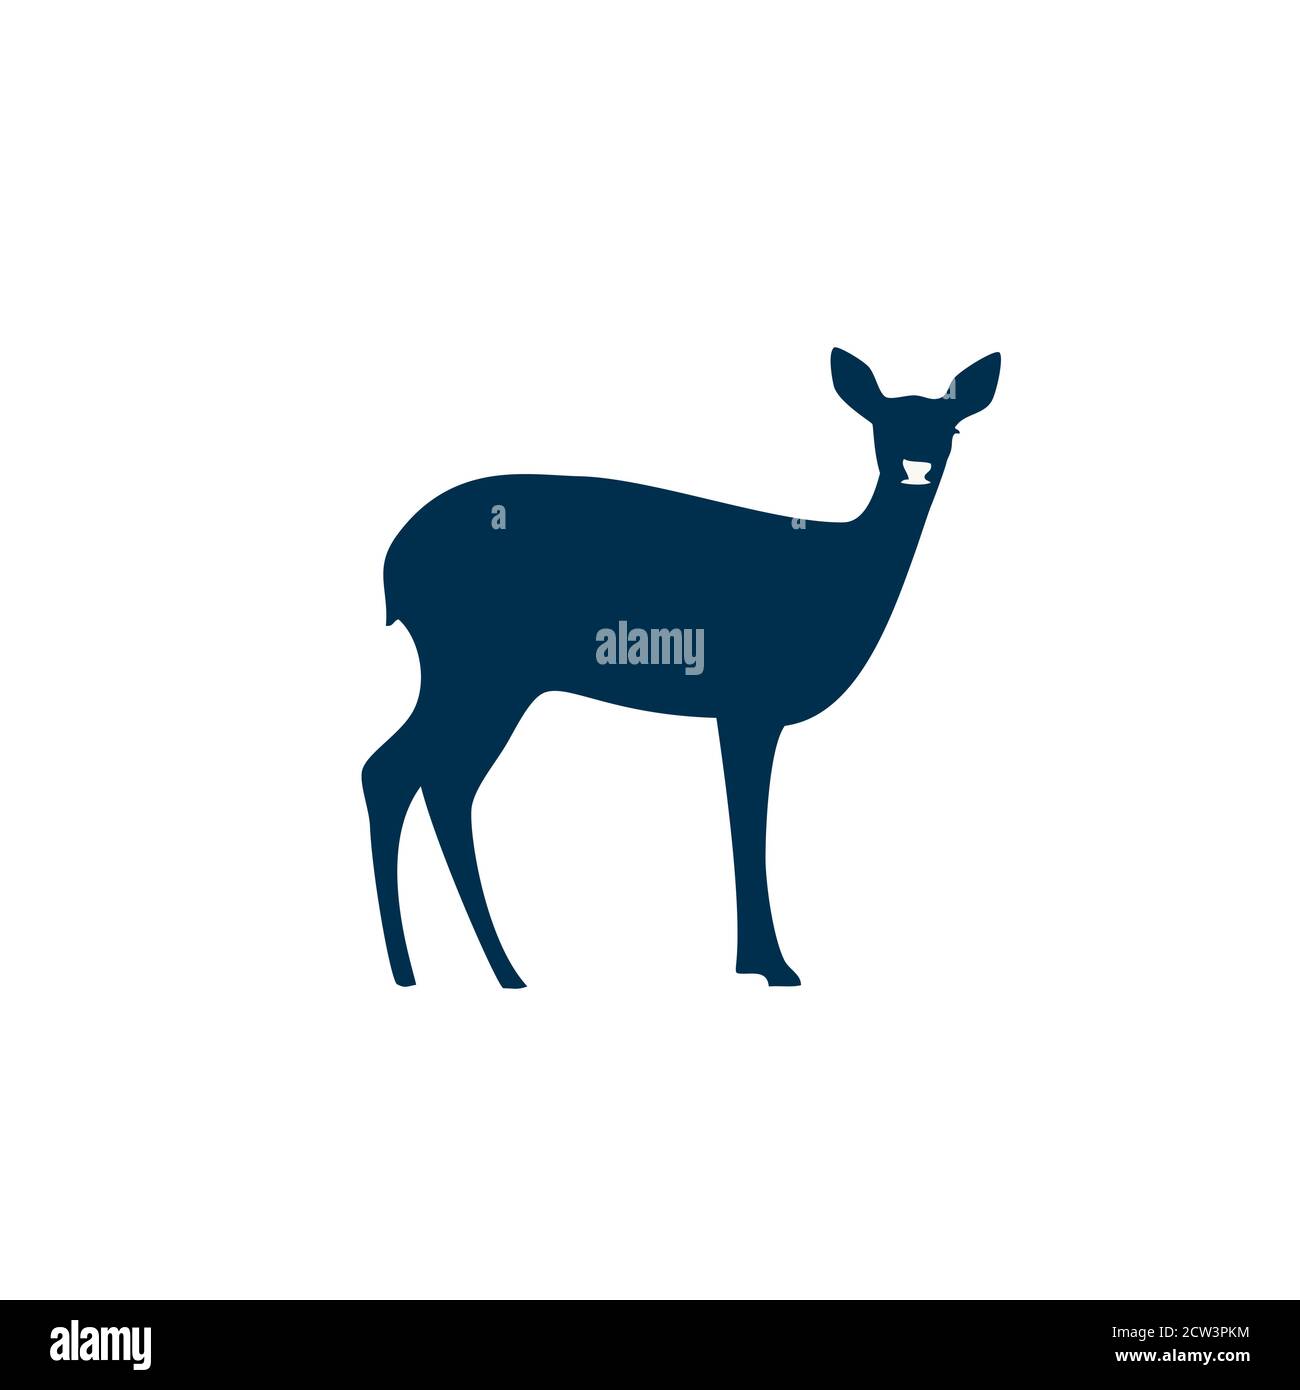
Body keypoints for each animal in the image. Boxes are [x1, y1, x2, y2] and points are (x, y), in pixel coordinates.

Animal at [363, 348, 1000, 988]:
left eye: (950, 429)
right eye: (880, 426)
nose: (916, 469)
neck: (840, 577)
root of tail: (393, 571)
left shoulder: (739, 709)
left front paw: (755, 961)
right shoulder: (750, 702)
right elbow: (747, 820)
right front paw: (770, 965)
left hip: (484, 676)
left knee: (430, 778)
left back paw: (478, 970)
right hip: (478, 666)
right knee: (400, 772)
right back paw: (441, 969)